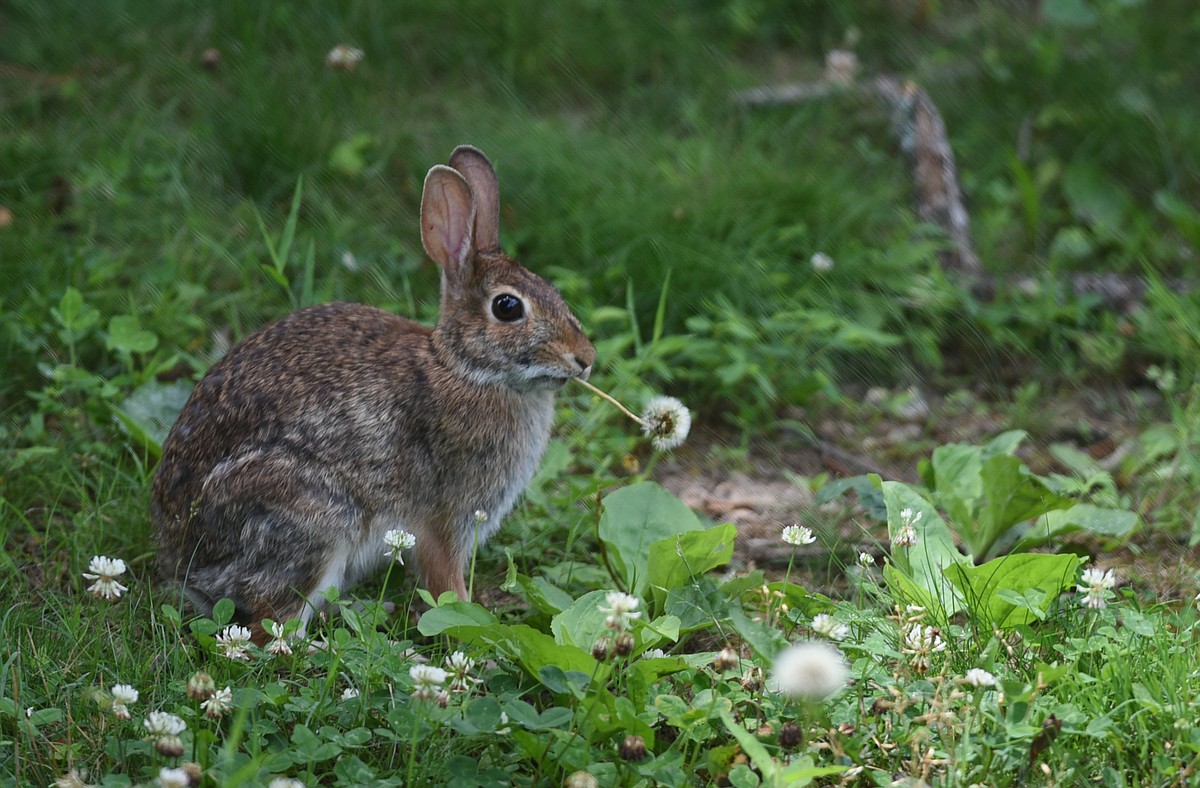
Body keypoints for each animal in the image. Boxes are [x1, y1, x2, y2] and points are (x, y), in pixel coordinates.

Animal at [151, 145, 595, 639]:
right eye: (507, 306)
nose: (585, 357)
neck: (465, 369)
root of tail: (185, 565)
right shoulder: (442, 522)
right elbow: (446, 585)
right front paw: (473, 621)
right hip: (314, 523)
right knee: (273, 627)